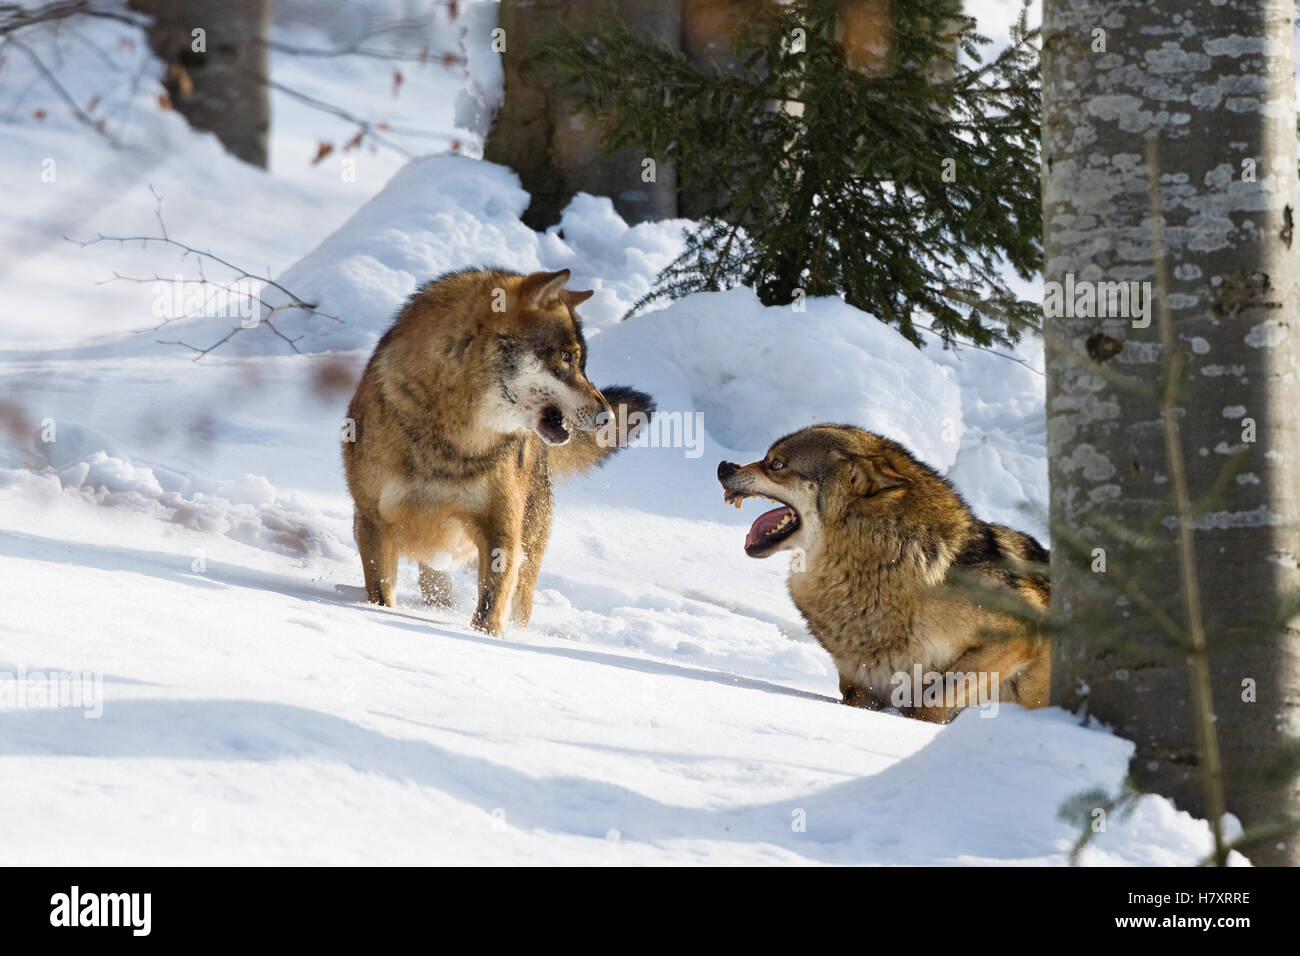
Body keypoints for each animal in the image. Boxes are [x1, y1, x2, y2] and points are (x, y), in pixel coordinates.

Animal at [343, 267, 653, 635]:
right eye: (567, 358)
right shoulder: (372, 523)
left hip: (527, 549)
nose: (606, 416)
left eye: (581, 362)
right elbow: (380, 596)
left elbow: (490, 606)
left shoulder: (501, 532)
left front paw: (488, 639)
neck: (453, 440)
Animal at [718, 425, 1049, 722]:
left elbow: (931, 703)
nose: (723, 466)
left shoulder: (1021, 633)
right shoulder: (860, 687)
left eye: (776, 464)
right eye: (768, 458)